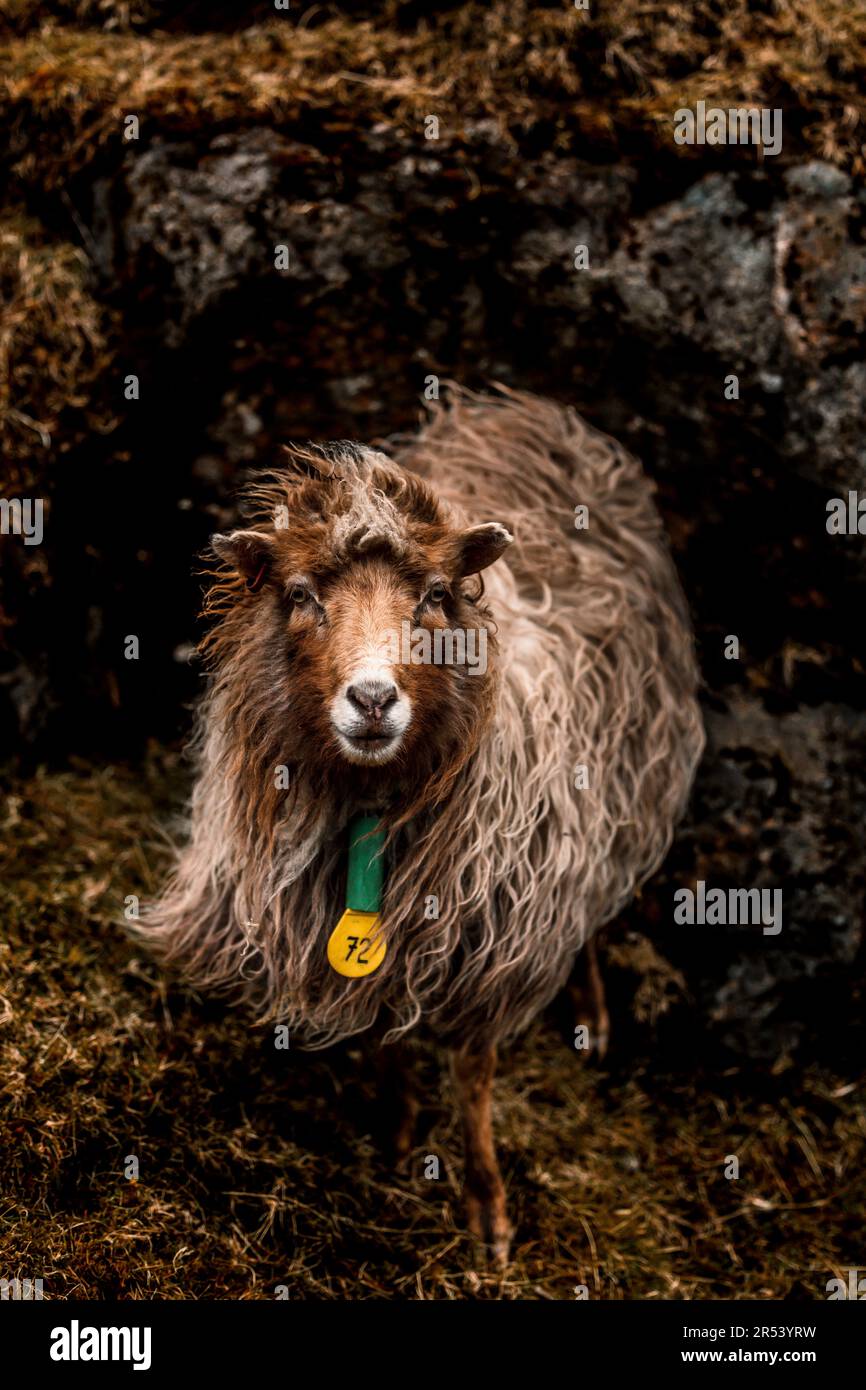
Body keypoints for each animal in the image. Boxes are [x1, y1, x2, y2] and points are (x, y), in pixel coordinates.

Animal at [137, 385, 704, 1263]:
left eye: (435, 595)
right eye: (300, 595)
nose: (373, 699)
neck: (375, 803)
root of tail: (535, 410)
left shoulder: (489, 937)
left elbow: (472, 1078)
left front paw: (487, 1213)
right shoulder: (376, 935)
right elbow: (387, 1037)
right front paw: (398, 1138)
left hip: (618, 768)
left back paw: (592, 1013)